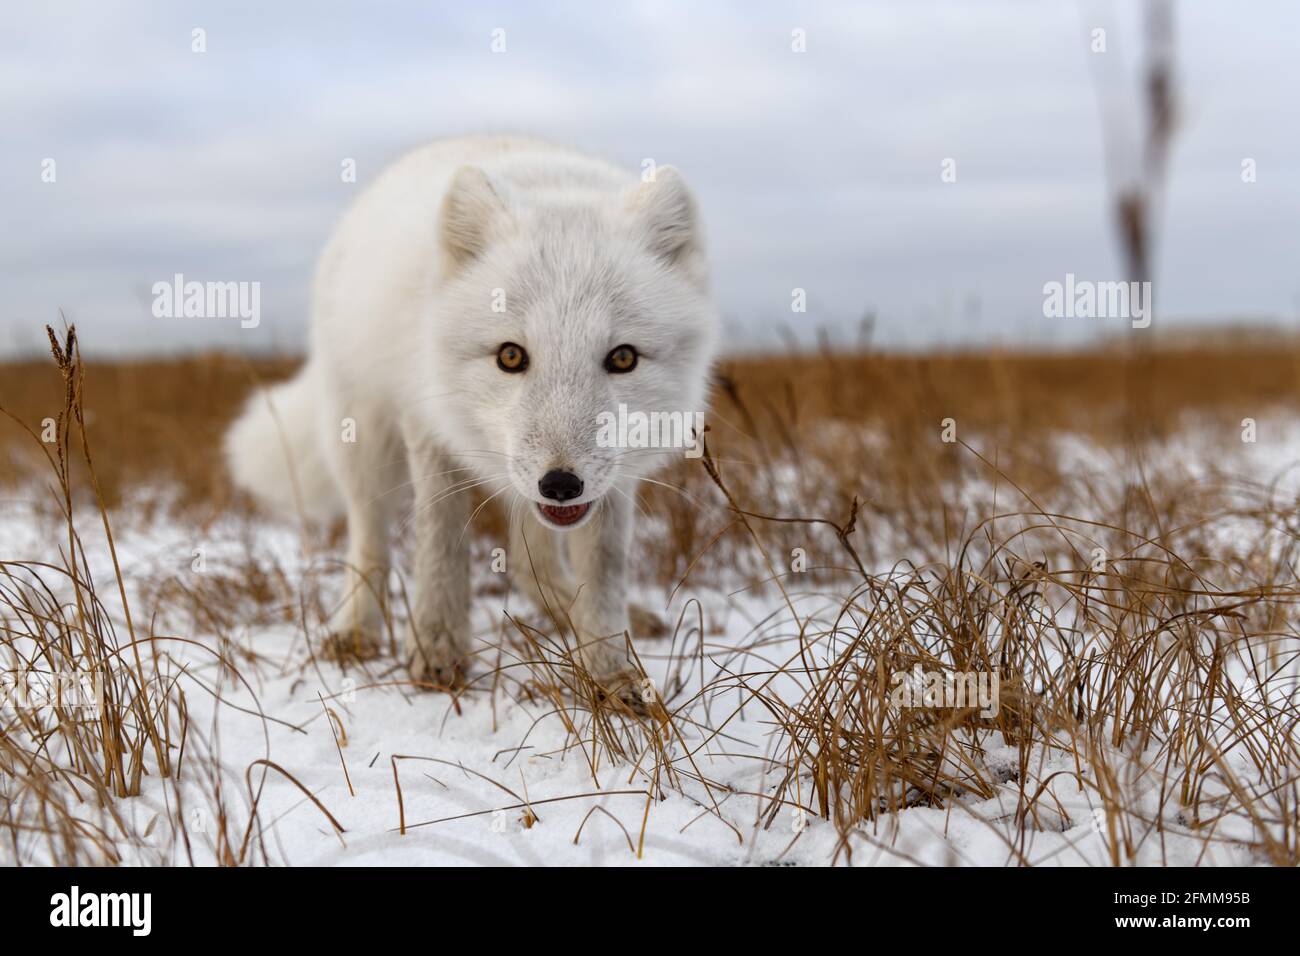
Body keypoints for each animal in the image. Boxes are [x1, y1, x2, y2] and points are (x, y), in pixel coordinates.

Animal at [224, 136, 719, 697]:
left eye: (622, 358)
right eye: (511, 356)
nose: (560, 485)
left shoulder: (613, 483)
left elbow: (604, 574)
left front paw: (612, 673)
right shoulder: (428, 430)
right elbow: (441, 546)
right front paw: (436, 648)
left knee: (529, 566)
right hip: (364, 439)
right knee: (369, 543)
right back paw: (356, 629)